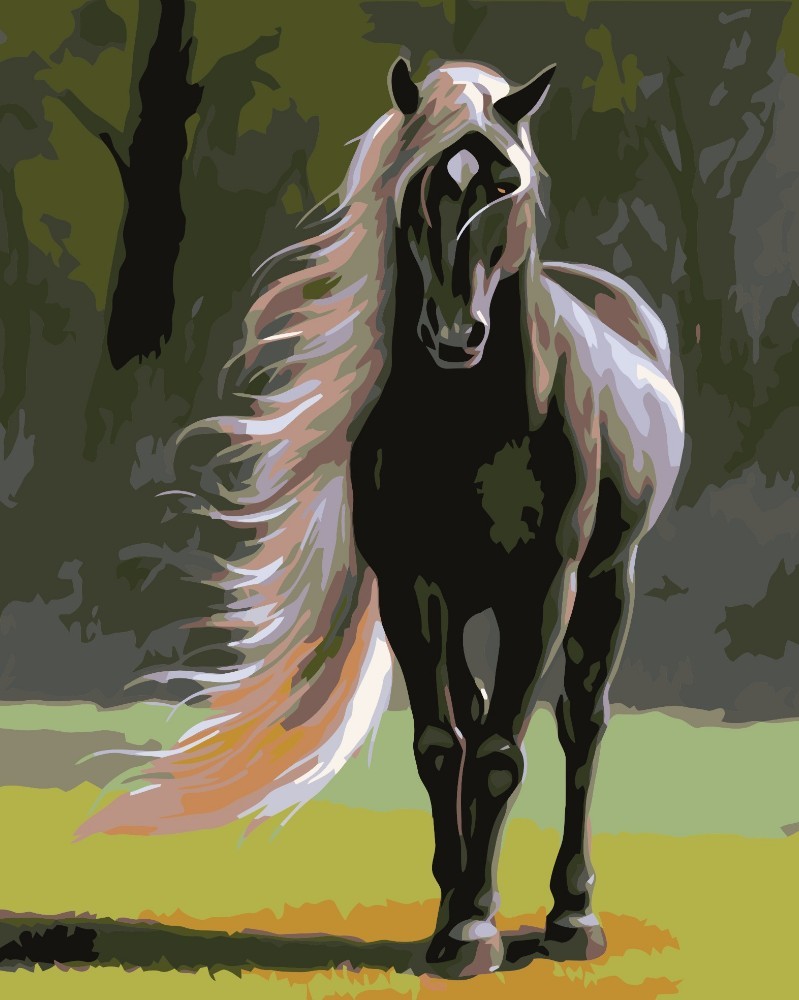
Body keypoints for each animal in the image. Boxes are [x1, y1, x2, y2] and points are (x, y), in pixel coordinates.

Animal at [77, 58, 685, 979]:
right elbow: (441, 743)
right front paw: (456, 922)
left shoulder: (542, 588)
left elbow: (502, 751)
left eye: (505, 186)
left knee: (582, 725)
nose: (455, 336)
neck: (474, 420)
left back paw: (570, 916)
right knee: (477, 711)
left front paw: (475, 925)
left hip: (609, 576)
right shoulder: (412, 586)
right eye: (414, 193)